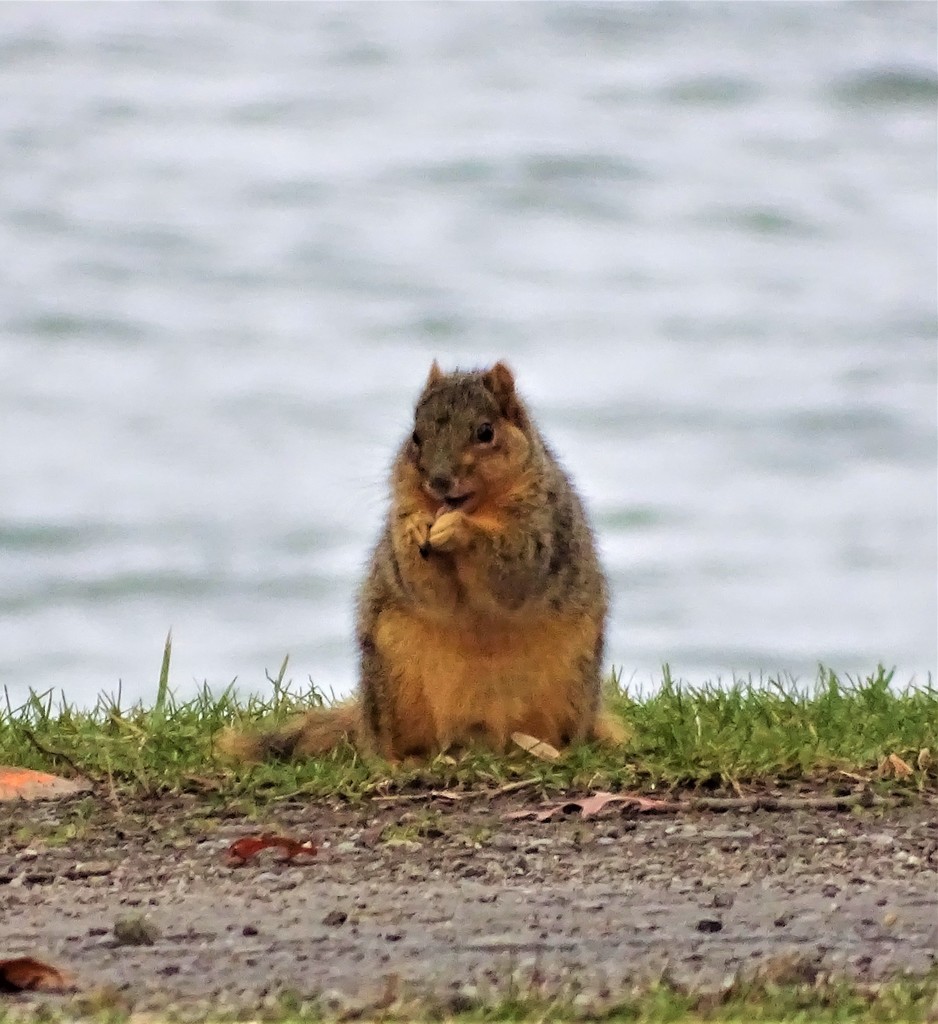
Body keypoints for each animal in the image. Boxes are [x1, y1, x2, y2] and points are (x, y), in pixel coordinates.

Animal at [220, 360, 626, 762]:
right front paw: (416, 527)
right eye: (415, 436)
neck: (474, 506)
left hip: (570, 686)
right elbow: (428, 589)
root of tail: (481, 739)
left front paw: (459, 529)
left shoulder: (544, 531)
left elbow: (516, 571)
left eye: (485, 432)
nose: (439, 480)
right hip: (395, 683)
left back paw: (552, 749)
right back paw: (406, 759)